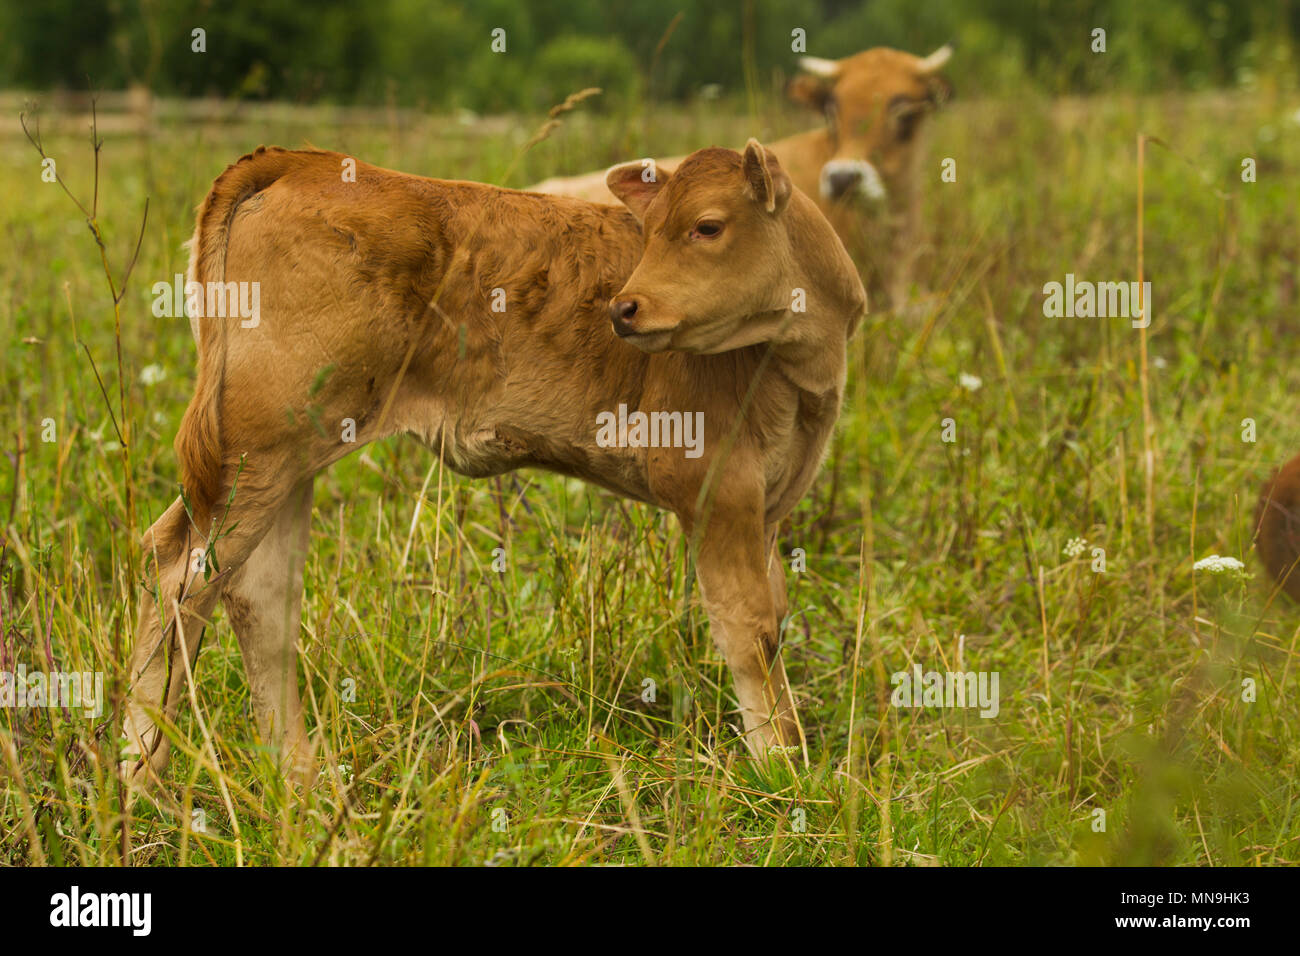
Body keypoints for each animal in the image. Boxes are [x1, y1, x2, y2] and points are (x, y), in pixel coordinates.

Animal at [121, 140, 866, 789]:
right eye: (650, 230)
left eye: (708, 226)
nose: (623, 309)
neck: (808, 368)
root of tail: (301, 160)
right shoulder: (715, 483)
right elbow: (750, 630)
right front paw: (781, 772)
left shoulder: (769, 505)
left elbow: (775, 617)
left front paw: (790, 759)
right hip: (262, 439)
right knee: (182, 568)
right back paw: (142, 779)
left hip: (292, 449)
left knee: (259, 590)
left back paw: (301, 778)